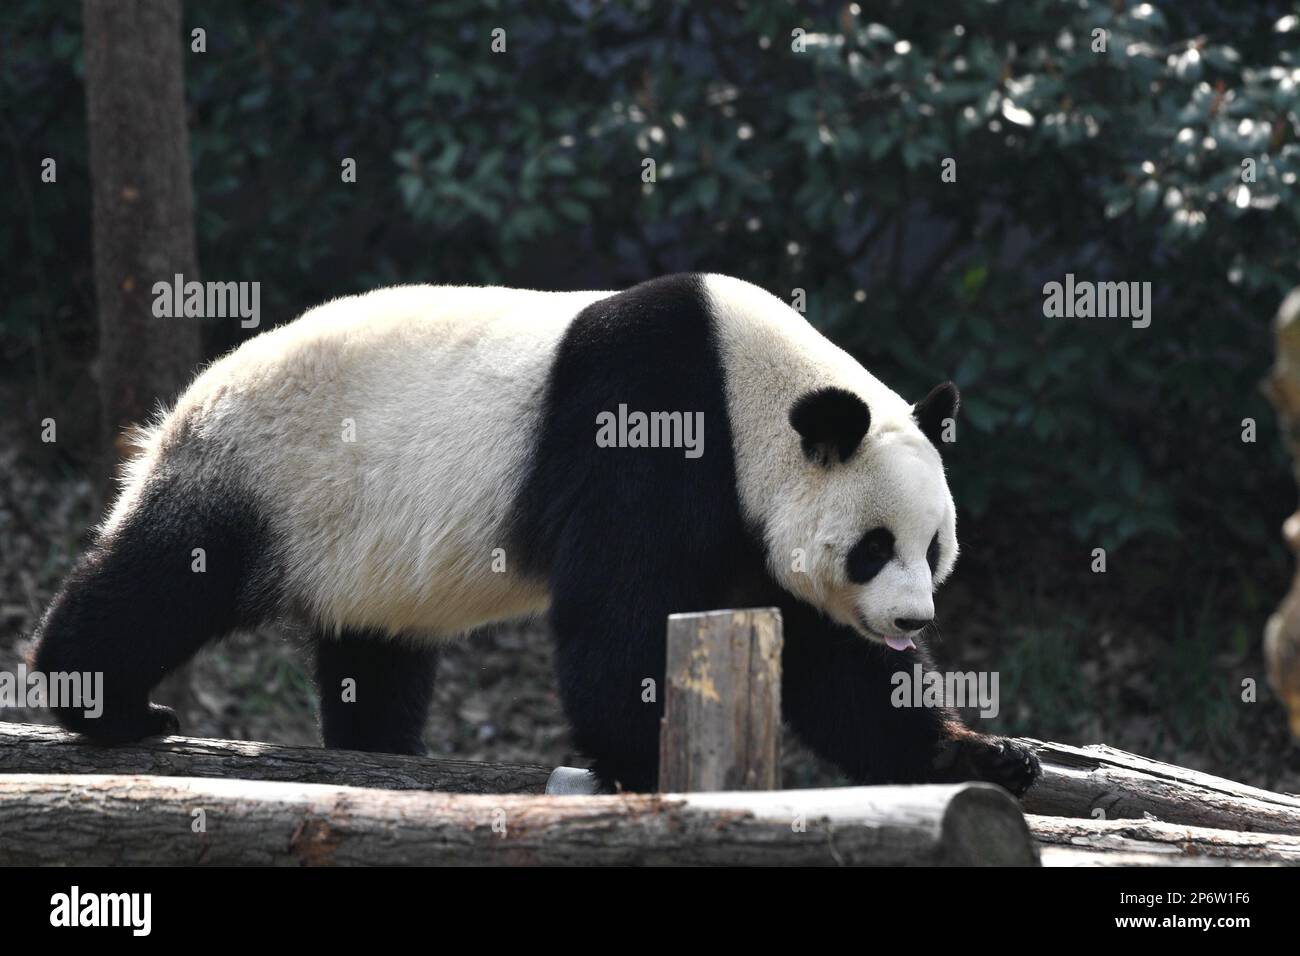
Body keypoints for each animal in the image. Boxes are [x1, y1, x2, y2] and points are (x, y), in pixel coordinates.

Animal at [31, 273, 1040, 795]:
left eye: (934, 549)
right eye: (873, 547)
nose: (911, 621)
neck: (751, 386)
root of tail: (185, 402)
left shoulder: (747, 527)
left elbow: (828, 664)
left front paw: (981, 754)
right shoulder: (650, 420)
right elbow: (620, 615)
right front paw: (640, 761)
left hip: (354, 539)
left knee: (376, 647)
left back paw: (383, 751)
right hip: (266, 468)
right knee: (167, 577)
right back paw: (104, 704)